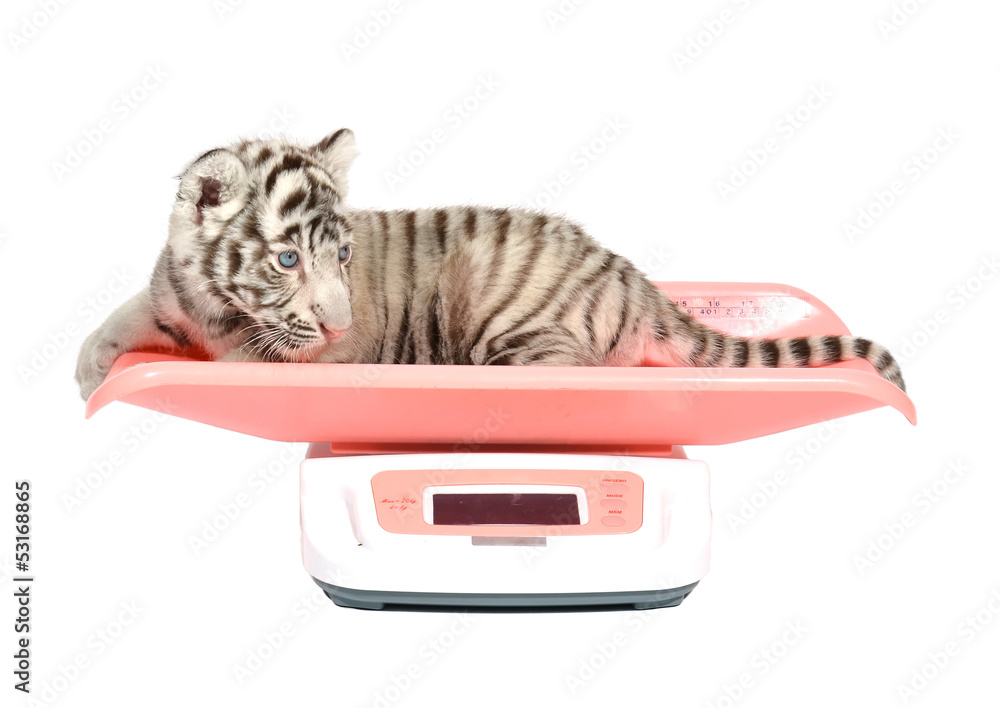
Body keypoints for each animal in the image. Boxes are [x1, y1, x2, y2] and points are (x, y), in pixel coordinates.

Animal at [74, 128, 906, 400]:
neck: (215, 304)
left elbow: (247, 363)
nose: (338, 323)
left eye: (341, 254)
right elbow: (122, 314)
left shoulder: (290, 357)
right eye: (285, 258)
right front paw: (89, 370)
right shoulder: (167, 297)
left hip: (515, 325)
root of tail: (631, 278)